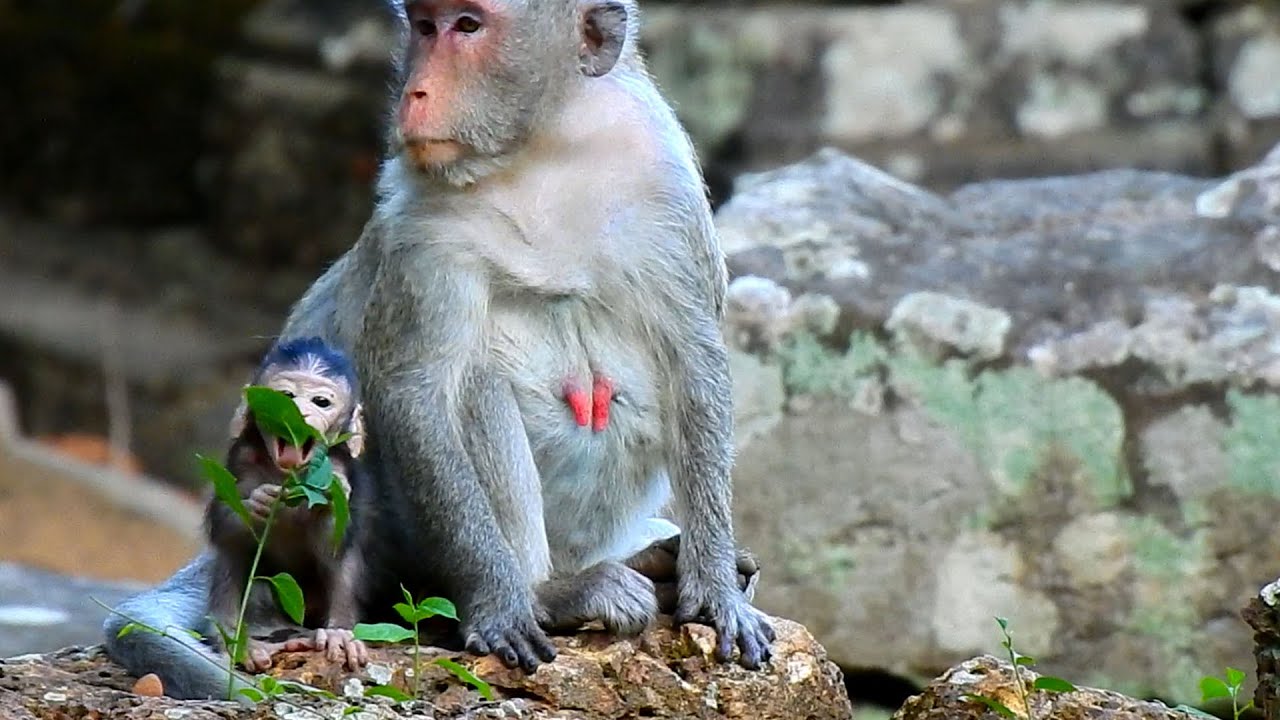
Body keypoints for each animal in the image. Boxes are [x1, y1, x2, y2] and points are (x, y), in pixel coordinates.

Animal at [205, 336, 371, 674]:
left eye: (321, 402)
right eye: (286, 395)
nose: (298, 413)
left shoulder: (341, 468)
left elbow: (336, 545)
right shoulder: (241, 460)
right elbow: (222, 522)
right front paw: (258, 504)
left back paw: (337, 633)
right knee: (235, 554)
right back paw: (239, 640)